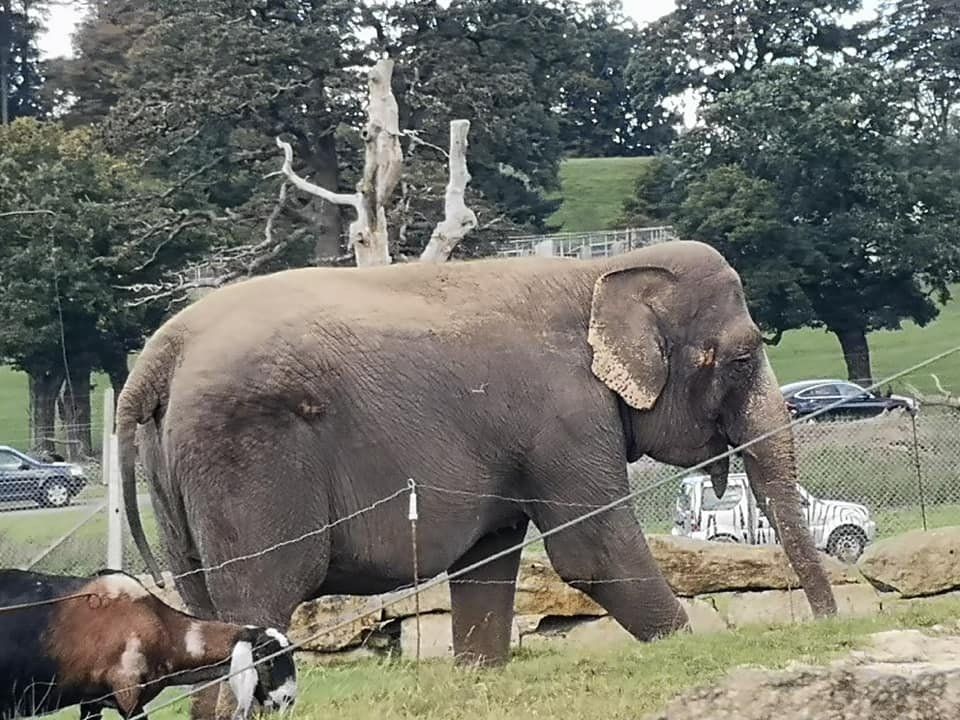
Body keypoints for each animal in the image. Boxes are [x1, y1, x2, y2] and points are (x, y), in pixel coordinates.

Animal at [117, 239, 837, 677]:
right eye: (742, 357)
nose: (830, 626)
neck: (599, 274)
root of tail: (158, 356)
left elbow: (487, 561)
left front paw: (479, 674)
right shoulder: (566, 419)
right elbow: (594, 553)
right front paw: (691, 648)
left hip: (175, 474)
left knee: (203, 612)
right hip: (244, 455)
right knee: (257, 604)